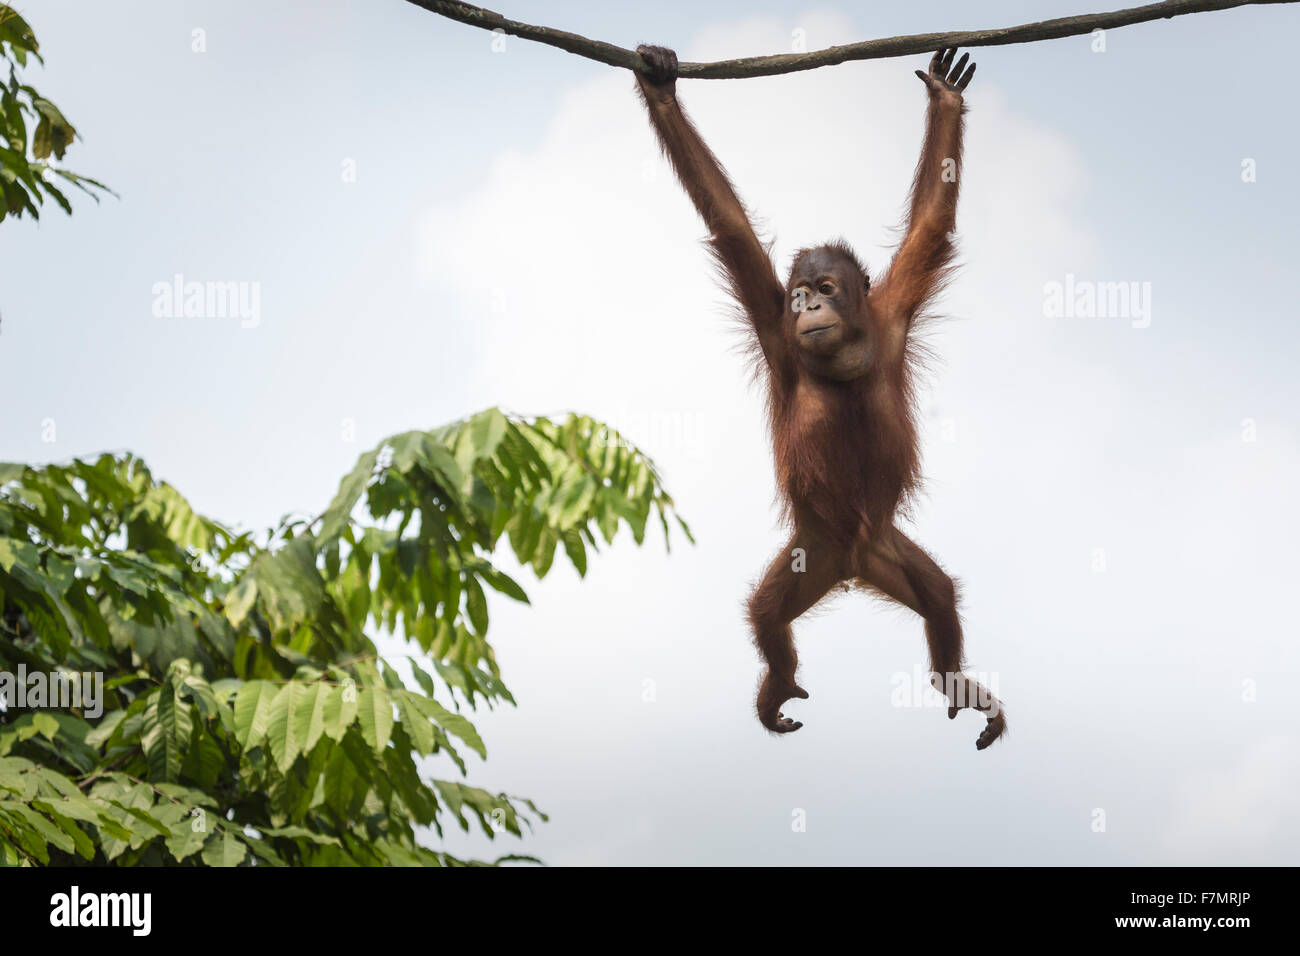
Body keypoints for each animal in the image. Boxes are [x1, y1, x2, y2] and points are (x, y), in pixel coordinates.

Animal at [634, 45, 1006, 749]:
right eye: (799, 293)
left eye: (827, 288)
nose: (806, 305)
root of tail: (851, 565)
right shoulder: (775, 328)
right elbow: (729, 225)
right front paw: (661, 85)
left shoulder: (892, 313)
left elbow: (931, 227)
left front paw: (944, 99)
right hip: (813, 548)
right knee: (766, 613)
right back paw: (778, 682)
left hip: (885, 547)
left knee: (939, 594)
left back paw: (952, 679)